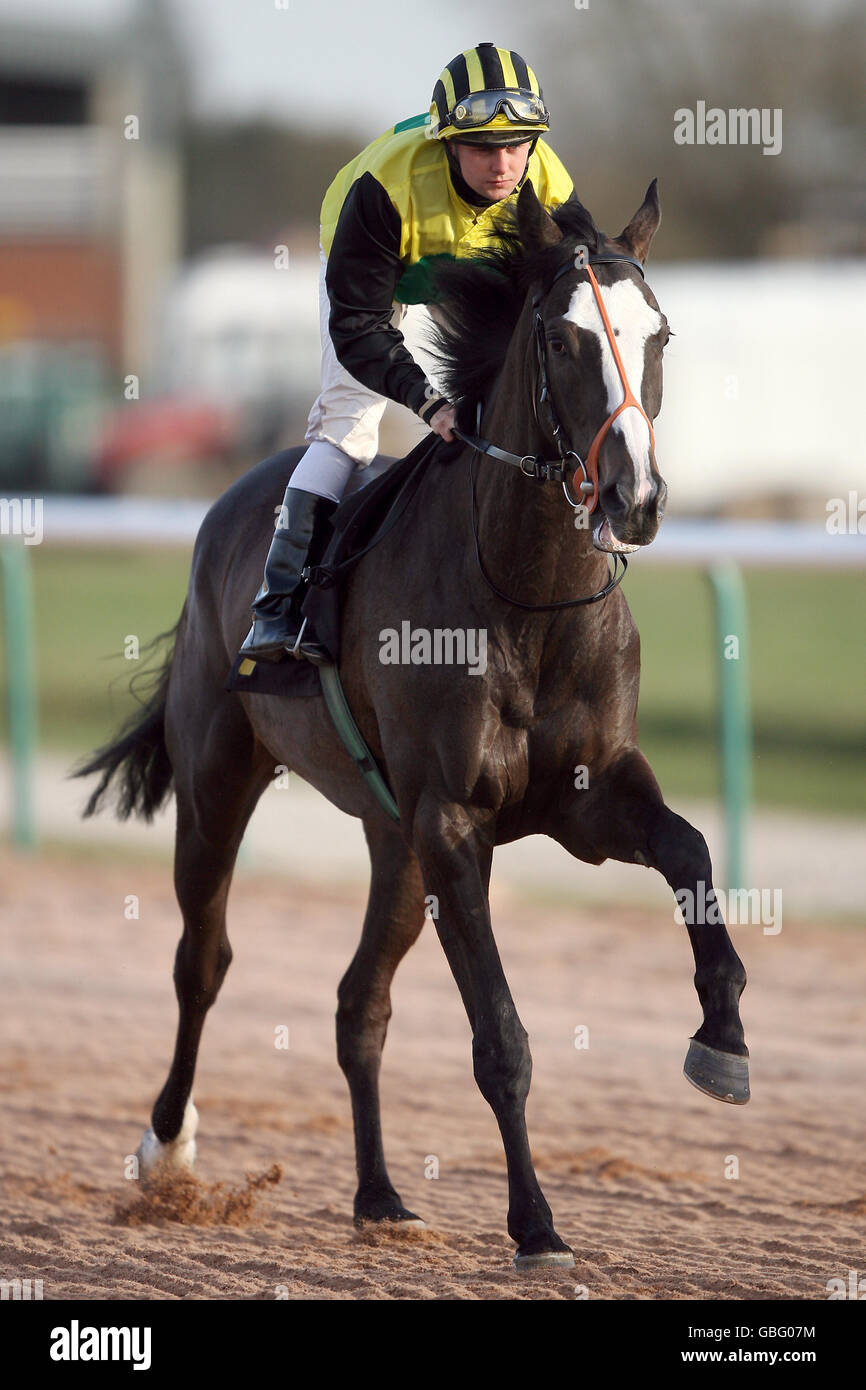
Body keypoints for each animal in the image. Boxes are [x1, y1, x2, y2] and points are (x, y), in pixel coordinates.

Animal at [77, 180, 749, 1269]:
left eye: (660, 334)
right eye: (561, 339)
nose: (636, 498)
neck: (524, 597)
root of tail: (226, 504)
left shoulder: (584, 795)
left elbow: (688, 848)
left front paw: (722, 1039)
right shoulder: (450, 821)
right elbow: (500, 1038)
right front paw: (536, 1225)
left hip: (389, 840)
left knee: (360, 1003)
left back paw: (380, 1194)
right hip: (223, 778)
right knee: (201, 961)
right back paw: (167, 1150)